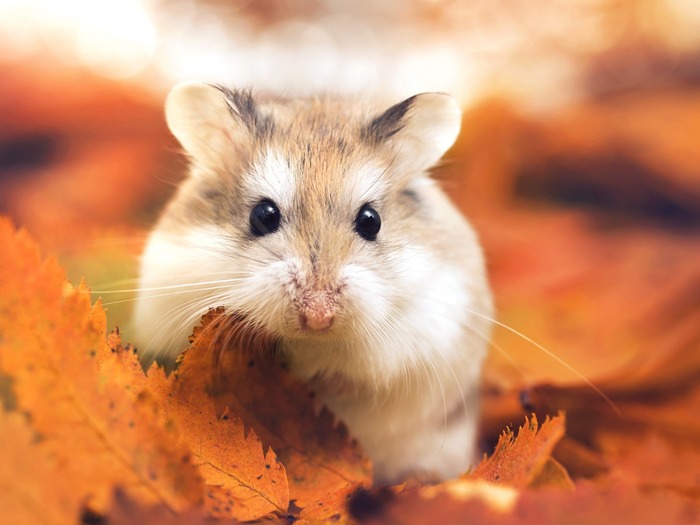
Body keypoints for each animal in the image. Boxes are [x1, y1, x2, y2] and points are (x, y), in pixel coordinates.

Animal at [132, 81, 493, 484]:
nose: (317, 316)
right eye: (262, 215)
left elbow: (364, 372)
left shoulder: (426, 331)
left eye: (371, 220)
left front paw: (321, 380)